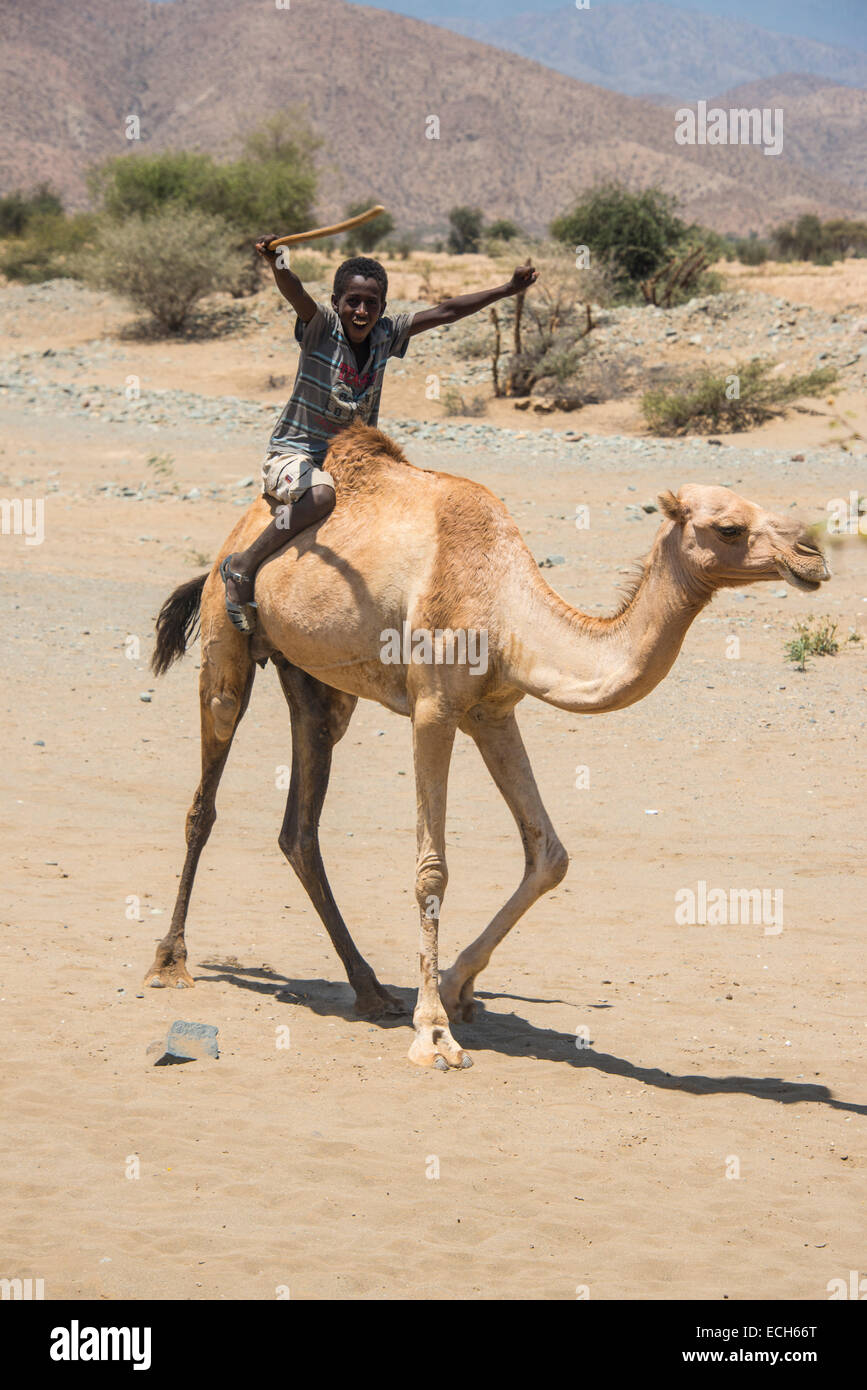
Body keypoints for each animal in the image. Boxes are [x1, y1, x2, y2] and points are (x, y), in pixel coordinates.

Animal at [145, 420, 829, 1069]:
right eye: (730, 527)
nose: (812, 557)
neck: (506, 607)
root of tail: (234, 538)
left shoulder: (493, 713)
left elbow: (549, 854)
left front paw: (455, 988)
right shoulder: (433, 708)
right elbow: (431, 871)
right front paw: (433, 1033)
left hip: (313, 681)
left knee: (300, 827)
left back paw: (370, 989)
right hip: (227, 644)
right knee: (206, 794)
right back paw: (170, 962)